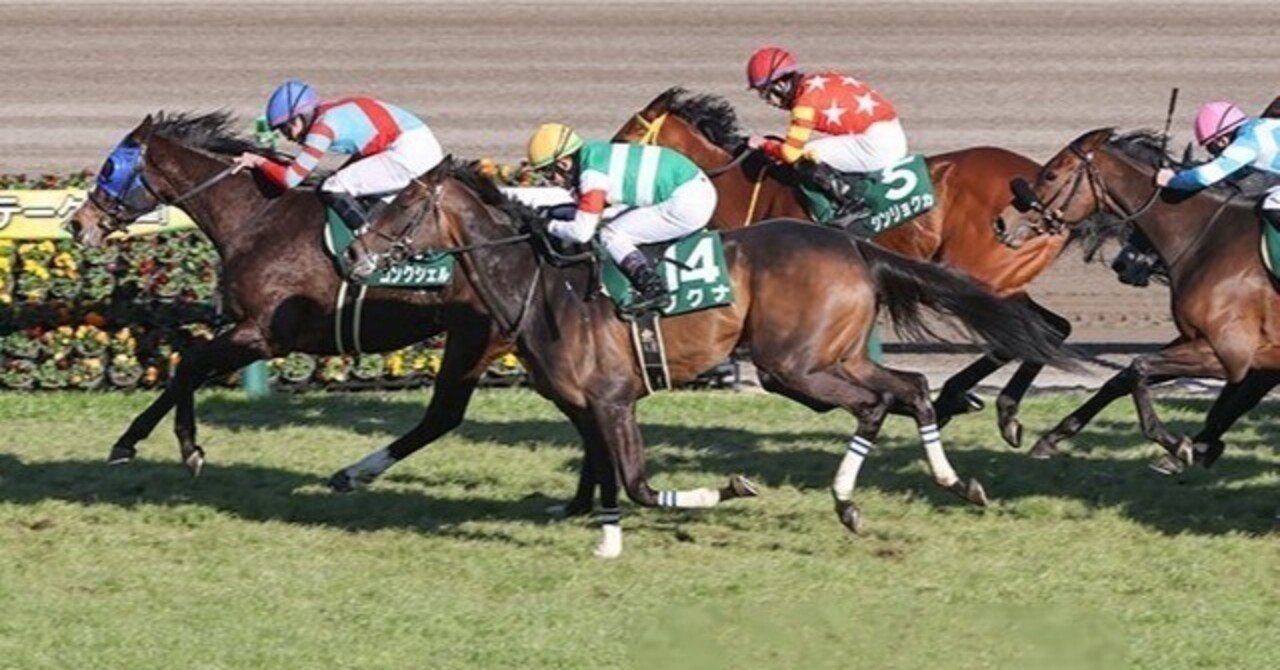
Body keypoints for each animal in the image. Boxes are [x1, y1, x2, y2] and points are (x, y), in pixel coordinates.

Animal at [65, 112, 509, 489]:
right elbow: (190, 370)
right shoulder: (248, 330)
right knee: (444, 416)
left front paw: (162, 445)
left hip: (472, 335)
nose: (76, 224)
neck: (258, 217)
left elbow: (189, 364)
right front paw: (163, 444)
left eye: (109, 168)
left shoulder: (266, 334)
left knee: (442, 414)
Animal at [344, 159, 1075, 557]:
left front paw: (727, 488)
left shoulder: (612, 399)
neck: (540, 285)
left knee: (875, 403)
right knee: (912, 387)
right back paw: (953, 481)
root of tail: (855, 245)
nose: (353, 253)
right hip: (828, 356)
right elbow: (603, 475)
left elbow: (636, 481)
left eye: (402, 206)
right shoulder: (588, 405)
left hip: (794, 366)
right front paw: (598, 530)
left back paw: (848, 501)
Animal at [611, 87, 1072, 449]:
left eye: (627, 137)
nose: (591, 174)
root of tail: (1047, 192)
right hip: (1004, 279)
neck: (750, 189)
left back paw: (968, 401)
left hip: (980, 275)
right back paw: (996, 409)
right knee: (1050, 329)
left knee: (1025, 332)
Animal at [993, 127, 1280, 471]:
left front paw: (1178, 445)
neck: (1210, 240)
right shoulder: (1207, 343)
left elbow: (1140, 366)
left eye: (1050, 175)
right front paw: (1049, 436)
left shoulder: (1232, 355)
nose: (1002, 222)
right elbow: (1124, 377)